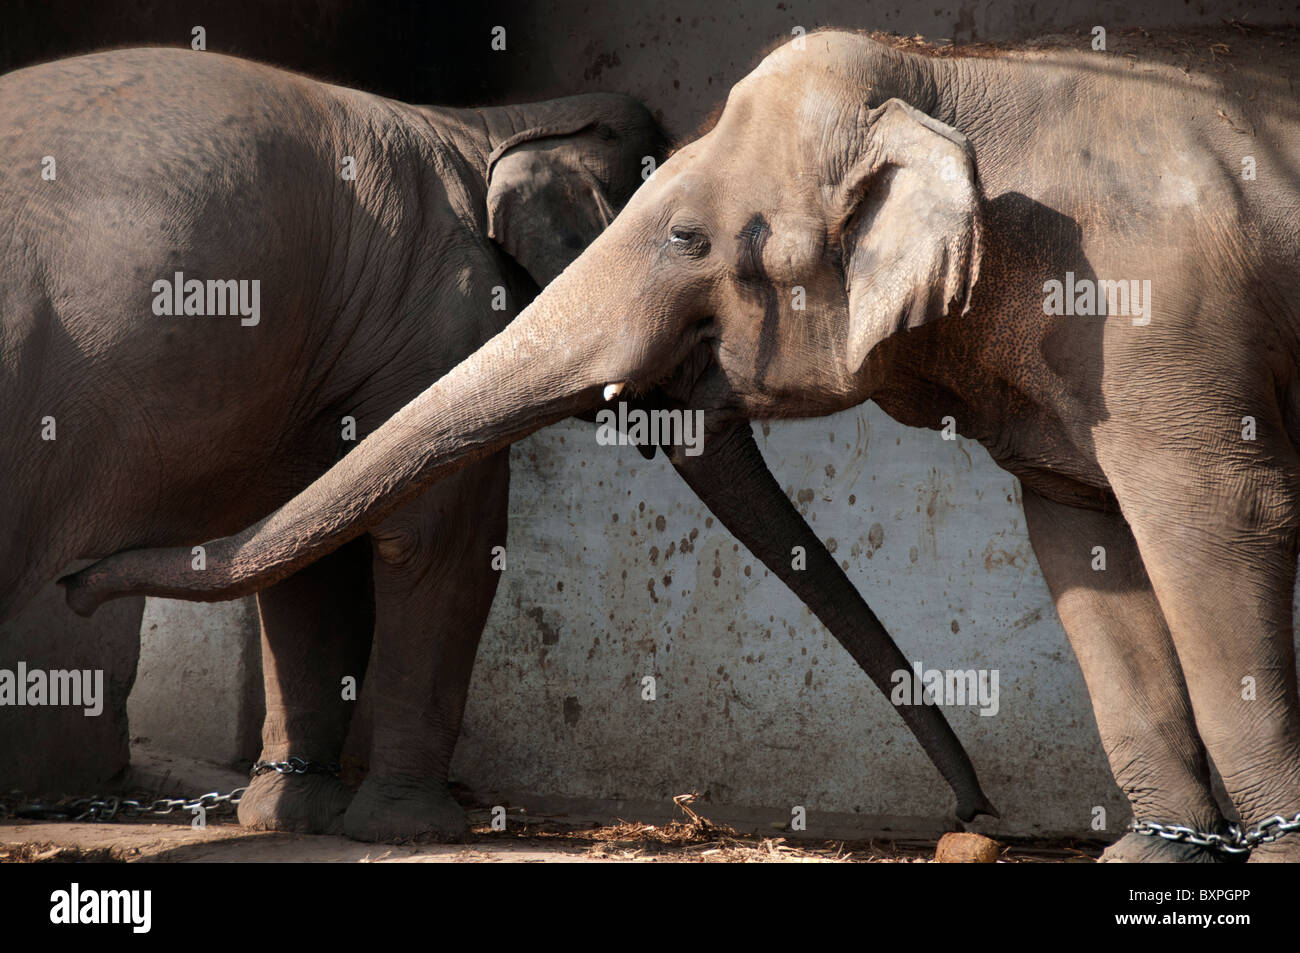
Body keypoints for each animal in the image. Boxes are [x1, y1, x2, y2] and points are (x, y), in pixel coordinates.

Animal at [0, 46, 996, 841]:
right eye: (689, 257)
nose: (976, 813)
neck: (494, 124)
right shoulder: (441, 311)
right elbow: (443, 534)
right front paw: (410, 829)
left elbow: (308, 542)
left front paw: (290, 816)